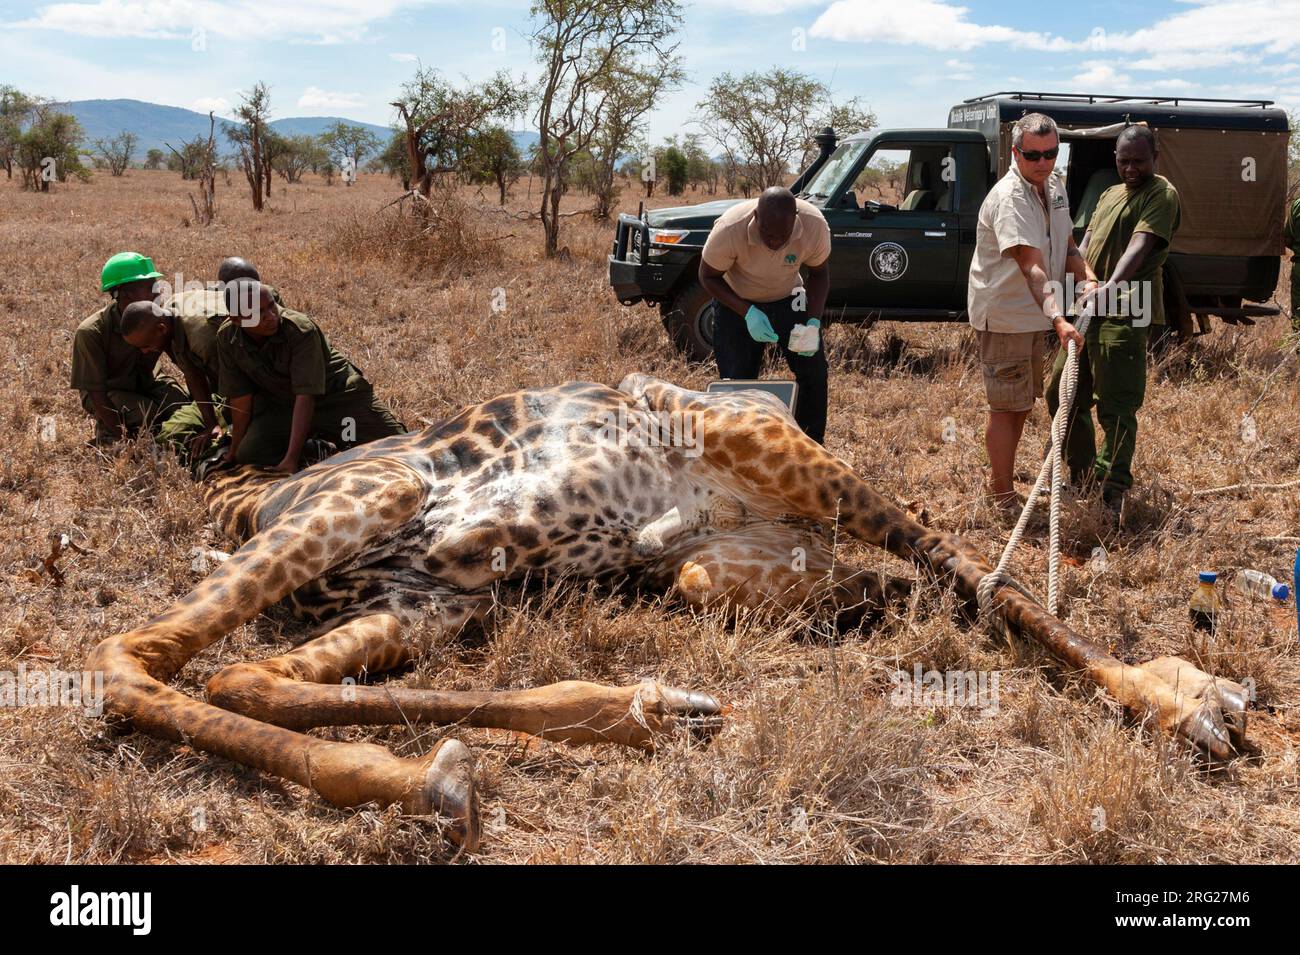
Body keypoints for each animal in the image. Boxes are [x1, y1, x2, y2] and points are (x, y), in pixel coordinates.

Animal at [87, 374, 1249, 851]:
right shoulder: (766, 451)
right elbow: (977, 574)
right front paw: (1184, 701)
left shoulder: (751, 526)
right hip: (398, 522)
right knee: (154, 656)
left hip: (437, 593)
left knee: (240, 670)